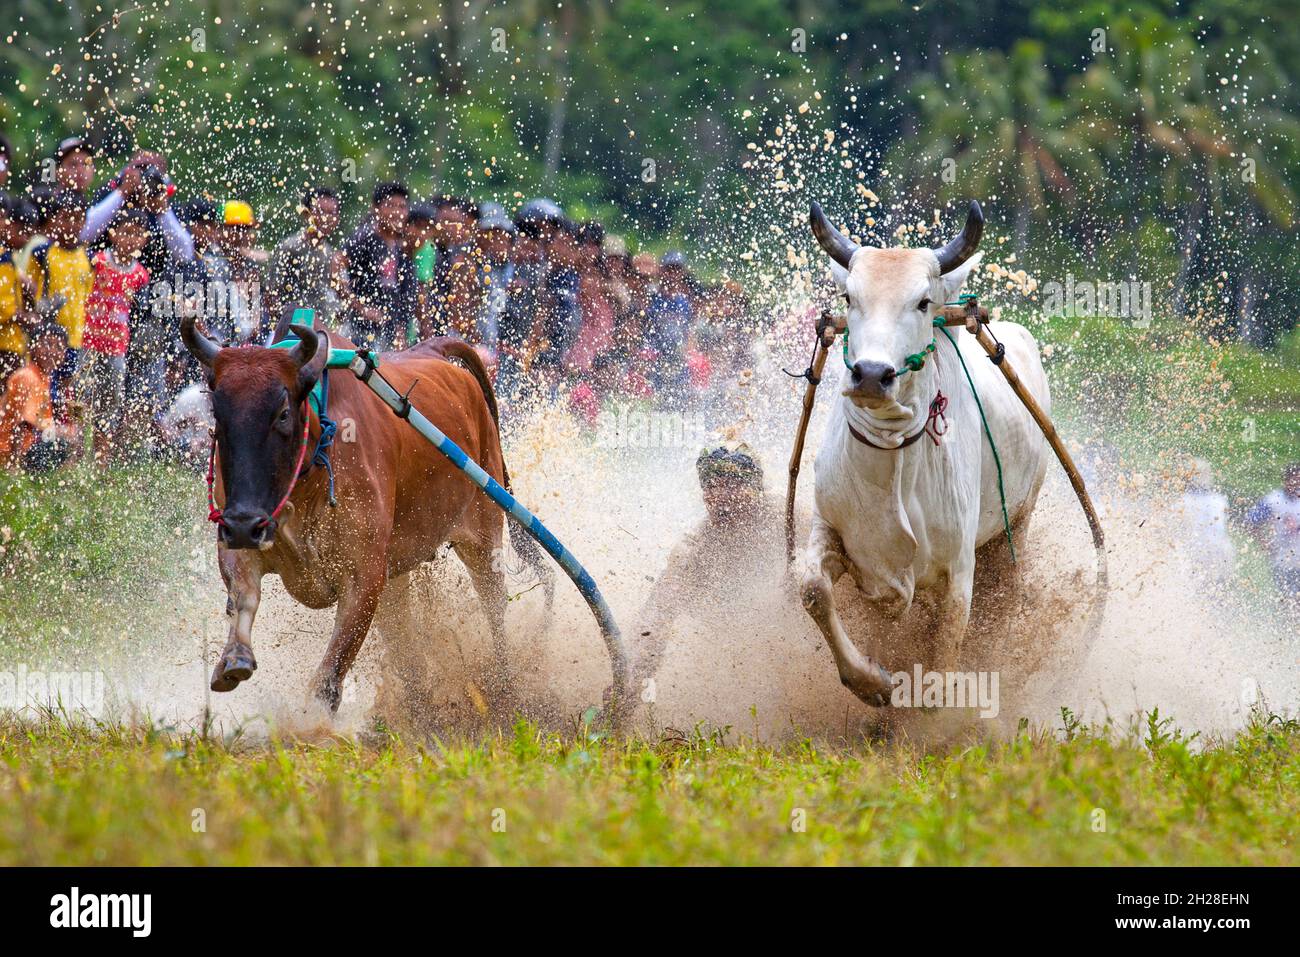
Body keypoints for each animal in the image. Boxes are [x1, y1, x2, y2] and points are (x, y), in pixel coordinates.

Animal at [180, 316, 626, 716]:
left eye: (283, 412)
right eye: (218, 413)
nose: (243, 524)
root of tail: (433, 352)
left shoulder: (364, 576)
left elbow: (330, 673)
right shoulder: (241, 541)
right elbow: (243, 599)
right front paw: (234, 661)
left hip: (483, 537)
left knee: (494, 607)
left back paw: (503, 687)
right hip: (400, 573)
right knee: (407, 643)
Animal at [799, 200, 1051, 707]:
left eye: (922, 302)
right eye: (850, 298)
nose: (870, 374)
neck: (891, 452)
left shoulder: (958, 574)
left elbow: (942, 663)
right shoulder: (829, 526)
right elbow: (814, 588)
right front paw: (871, 683)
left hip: (1018, 523)